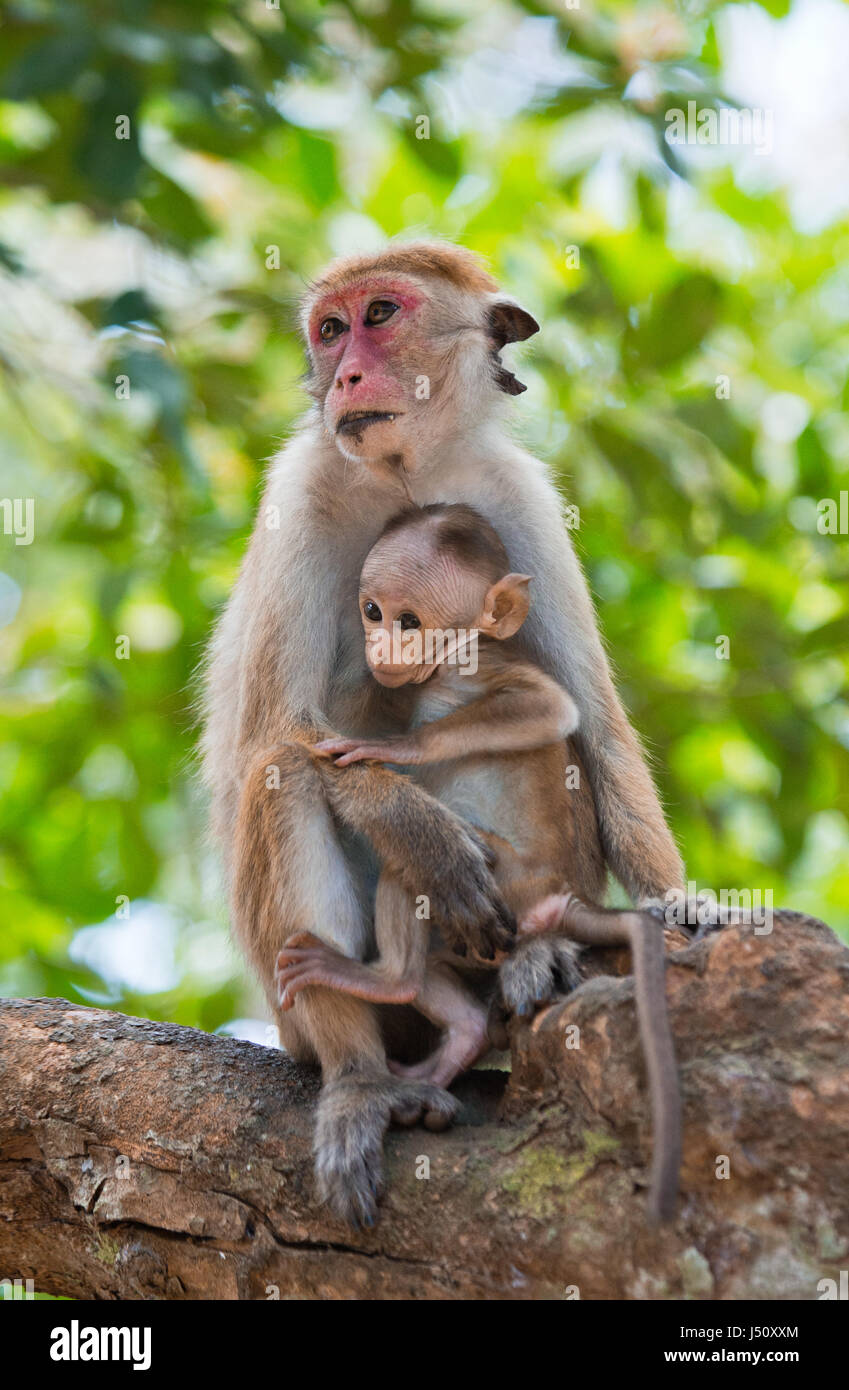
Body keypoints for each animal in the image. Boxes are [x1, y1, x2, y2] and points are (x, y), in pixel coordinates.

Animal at [273, 503, 681, 1224]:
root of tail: (566, 899)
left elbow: (548, 707)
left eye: (409, 621)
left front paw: (396, 747)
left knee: (419, 872)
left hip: (508, 885)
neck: (446, 671)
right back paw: (448, 1041)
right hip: (486, 934)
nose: (381, 647)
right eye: (372, 610)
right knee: (442, 964)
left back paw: (387, 977)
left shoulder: (487, 669)